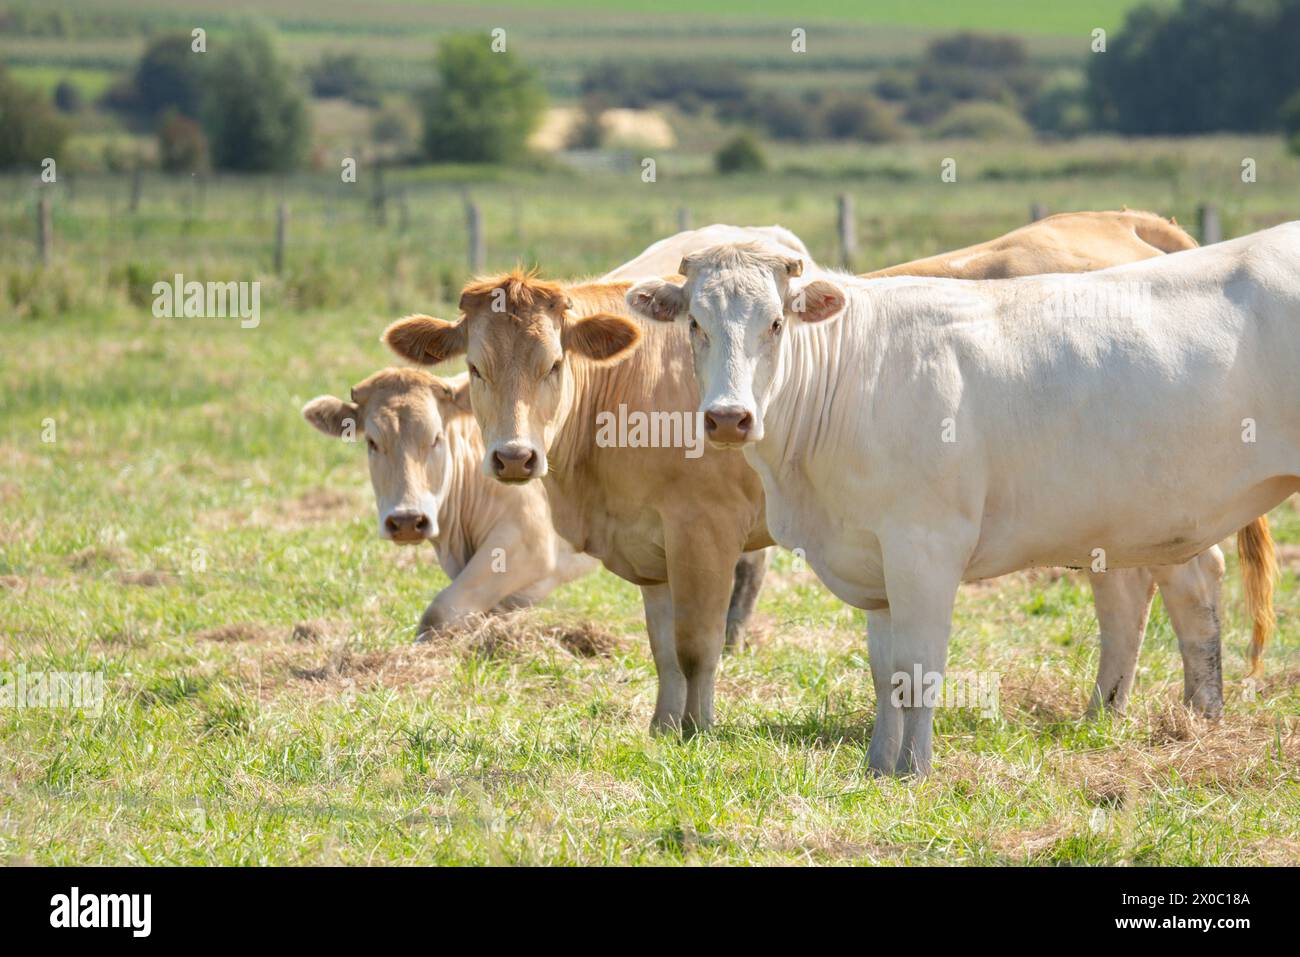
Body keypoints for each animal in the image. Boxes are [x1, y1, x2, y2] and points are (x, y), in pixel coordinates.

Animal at [626, 222, 1300, 774]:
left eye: (774, 322)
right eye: (695, 324)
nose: (728, 418)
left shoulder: (925, 546)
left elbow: (919, 668)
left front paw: (915, 769)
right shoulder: (873, 555)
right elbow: (885, 672)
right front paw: (878, 764)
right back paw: (1165, 718)